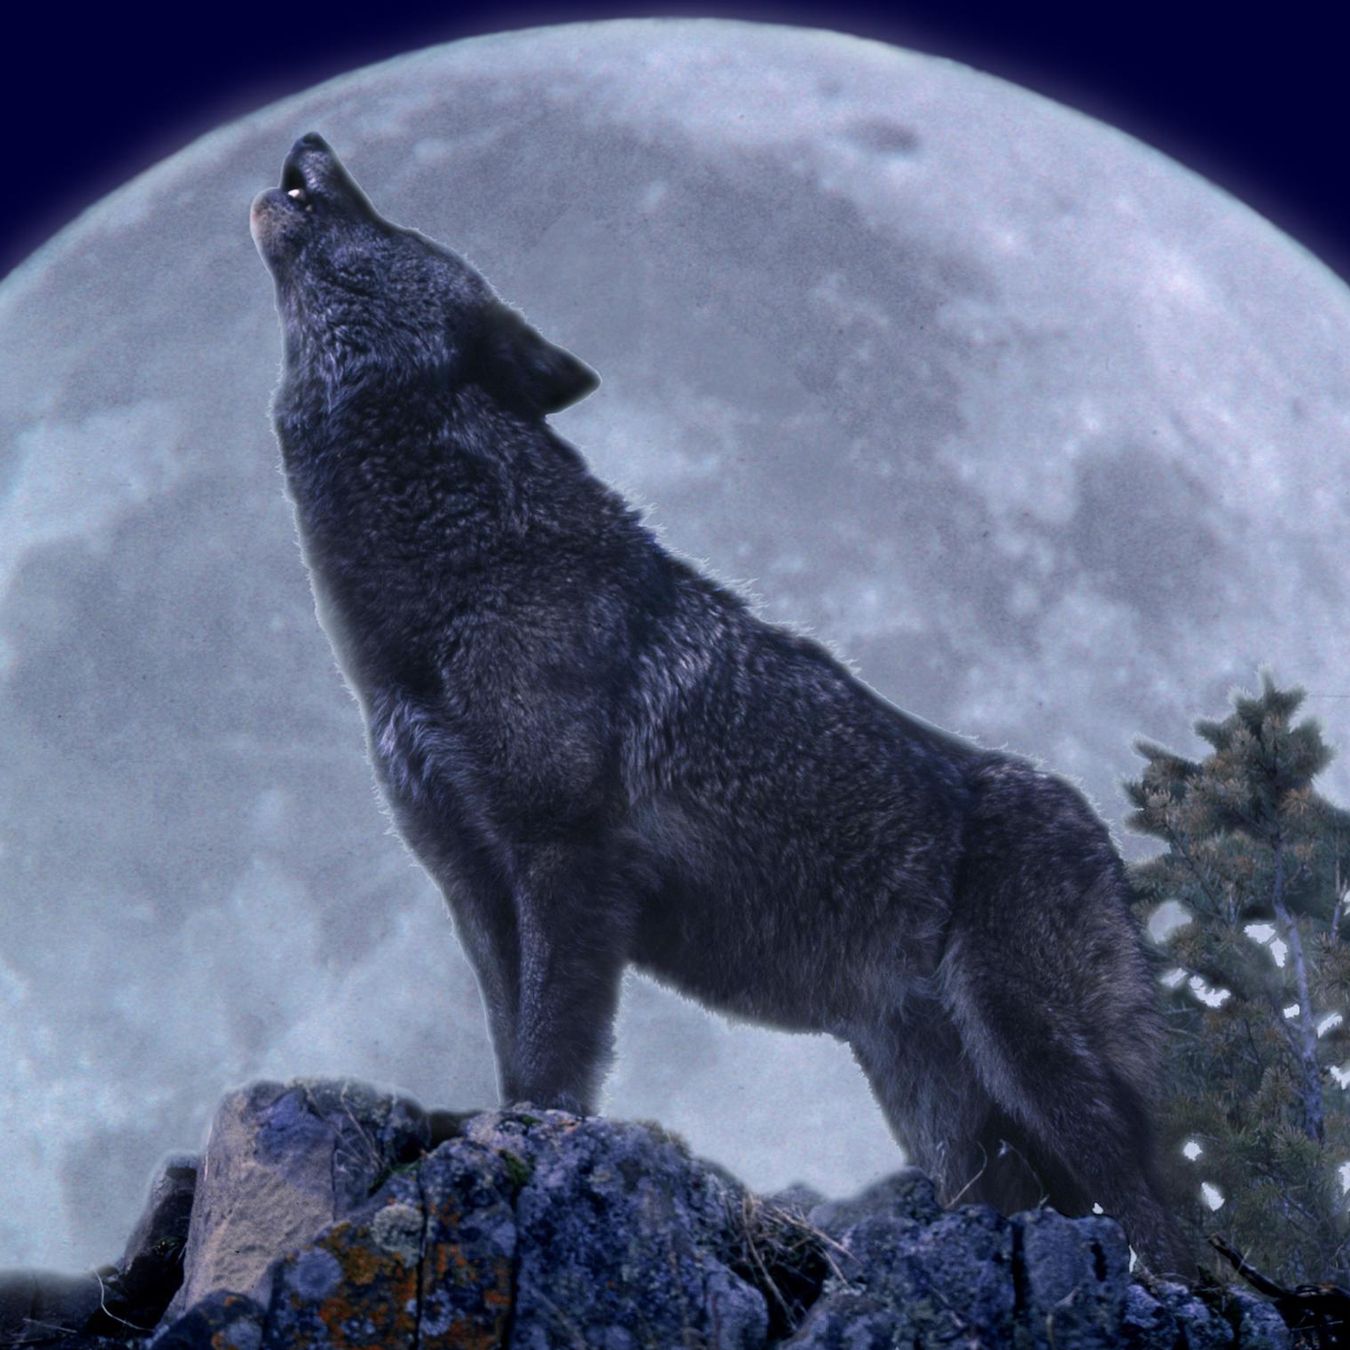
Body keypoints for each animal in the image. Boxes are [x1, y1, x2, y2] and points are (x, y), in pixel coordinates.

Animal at [251, 133, 1184, 1270]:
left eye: (390, 223)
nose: (312, 143)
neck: (448, 594)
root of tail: (1105, 833)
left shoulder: (566, 860)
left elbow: (553, 1047)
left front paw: (532, 1138)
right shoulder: (470, 880)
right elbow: (508, 1035)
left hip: (1031, 1057)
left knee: (1158, 1217)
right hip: (939, 1102)